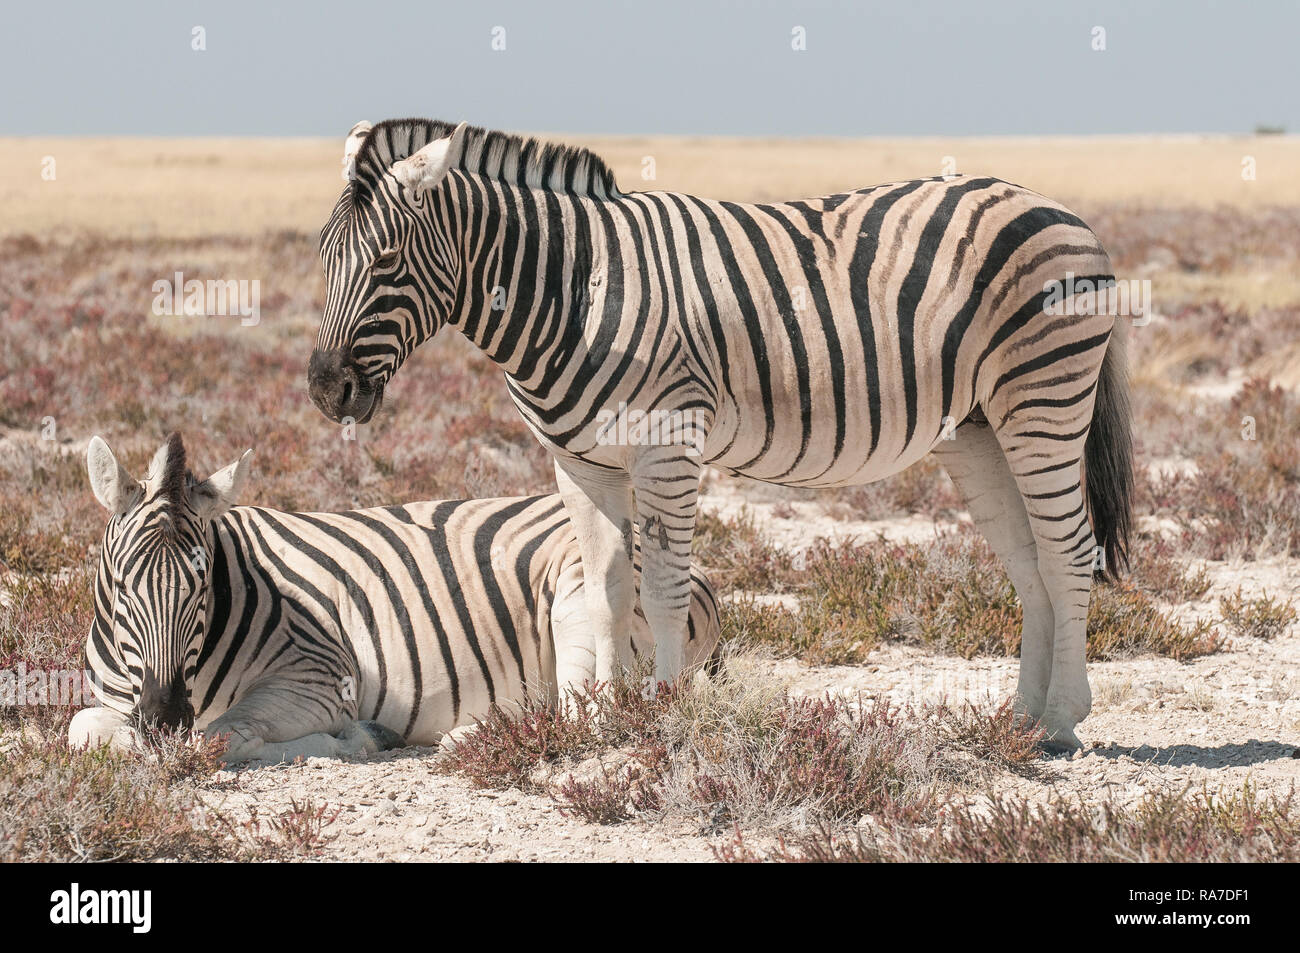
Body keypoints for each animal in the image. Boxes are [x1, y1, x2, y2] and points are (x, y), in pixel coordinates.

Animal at [69, 432, 721, 763]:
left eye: (202, 587)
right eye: (121, 584)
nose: (162, 716)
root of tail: (703, 581)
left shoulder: (318, 675)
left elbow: (221, 737)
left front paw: (352, 739)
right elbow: (83, 728)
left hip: (581, 596)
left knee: (581, 714)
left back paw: (471, 735)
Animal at [306, 119, 1133, 750]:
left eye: (388, 260)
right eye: (322, 257)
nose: (324, 386)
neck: (575, 290)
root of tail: (1059, 209)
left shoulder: (668, 445)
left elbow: (663, 588)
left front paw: (663, 712)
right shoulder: (580, 462)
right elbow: (606, 590)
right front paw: (604, 717)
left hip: (1042, 398)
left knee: (1067, 551)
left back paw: (1062, 721)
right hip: (978, 427)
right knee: (1028, 561)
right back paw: (1019, 721)